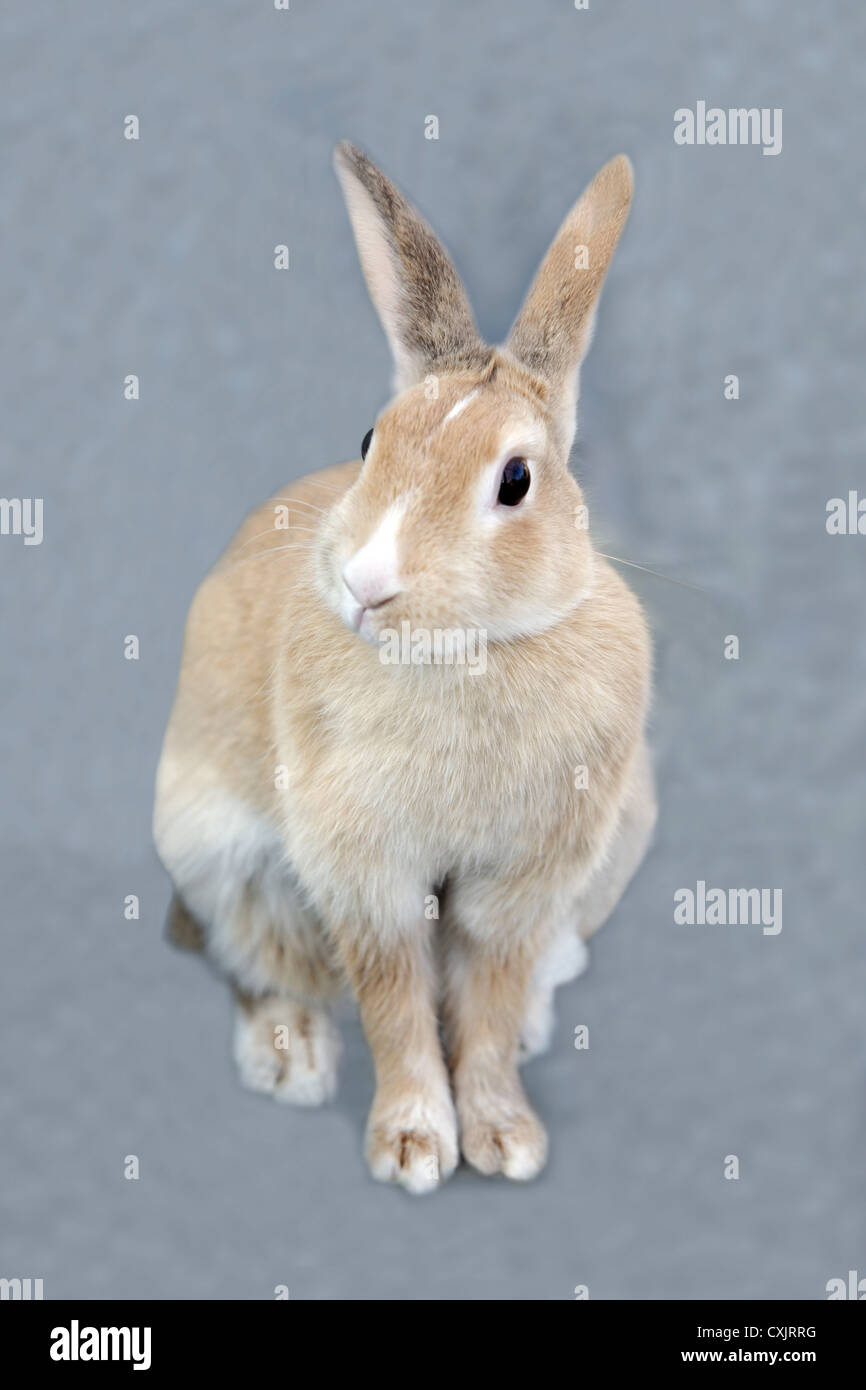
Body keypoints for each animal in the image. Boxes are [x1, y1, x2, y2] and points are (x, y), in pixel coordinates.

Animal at [153, 142, 657, 1194]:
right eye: (369, 441)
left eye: (517, 480)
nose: (366, 583)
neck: (465, 656)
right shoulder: (366, 876)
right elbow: (392, 1003)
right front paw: (415, 1146)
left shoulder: (522, 886)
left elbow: (492, 1001)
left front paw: (504, 1137)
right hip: (219, 853)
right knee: (261, 963)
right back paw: (293, 1060)